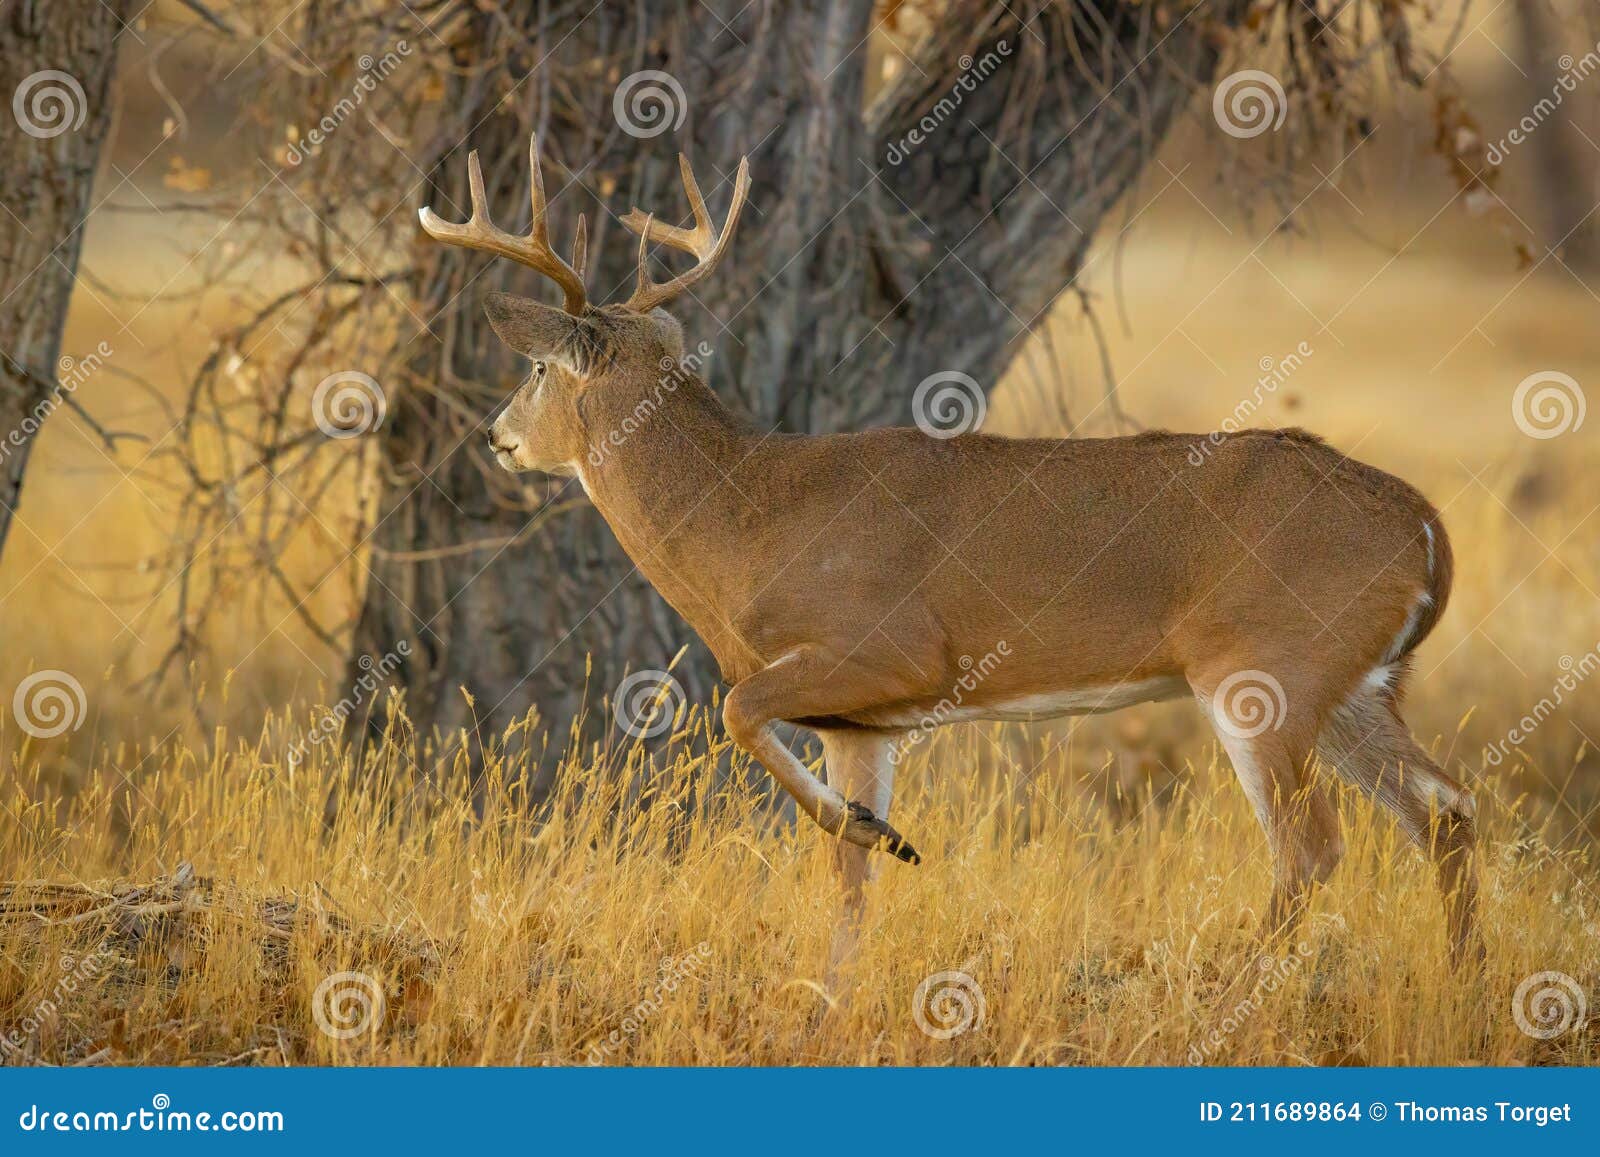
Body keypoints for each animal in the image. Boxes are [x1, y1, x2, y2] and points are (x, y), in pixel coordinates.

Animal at [419, 135, 1482, 968]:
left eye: (538, 368)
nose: (497, 437)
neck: (746, 524)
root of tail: (1427, 527)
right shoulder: (863, 724)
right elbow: (844, 882)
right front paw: (838, 972)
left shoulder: (893, 651)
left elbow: (736, 709)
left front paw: (882, 835)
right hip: (1354, 685)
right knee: (1446, 807)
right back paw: (1464, 993)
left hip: (1267, 670)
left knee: (1312, 848)